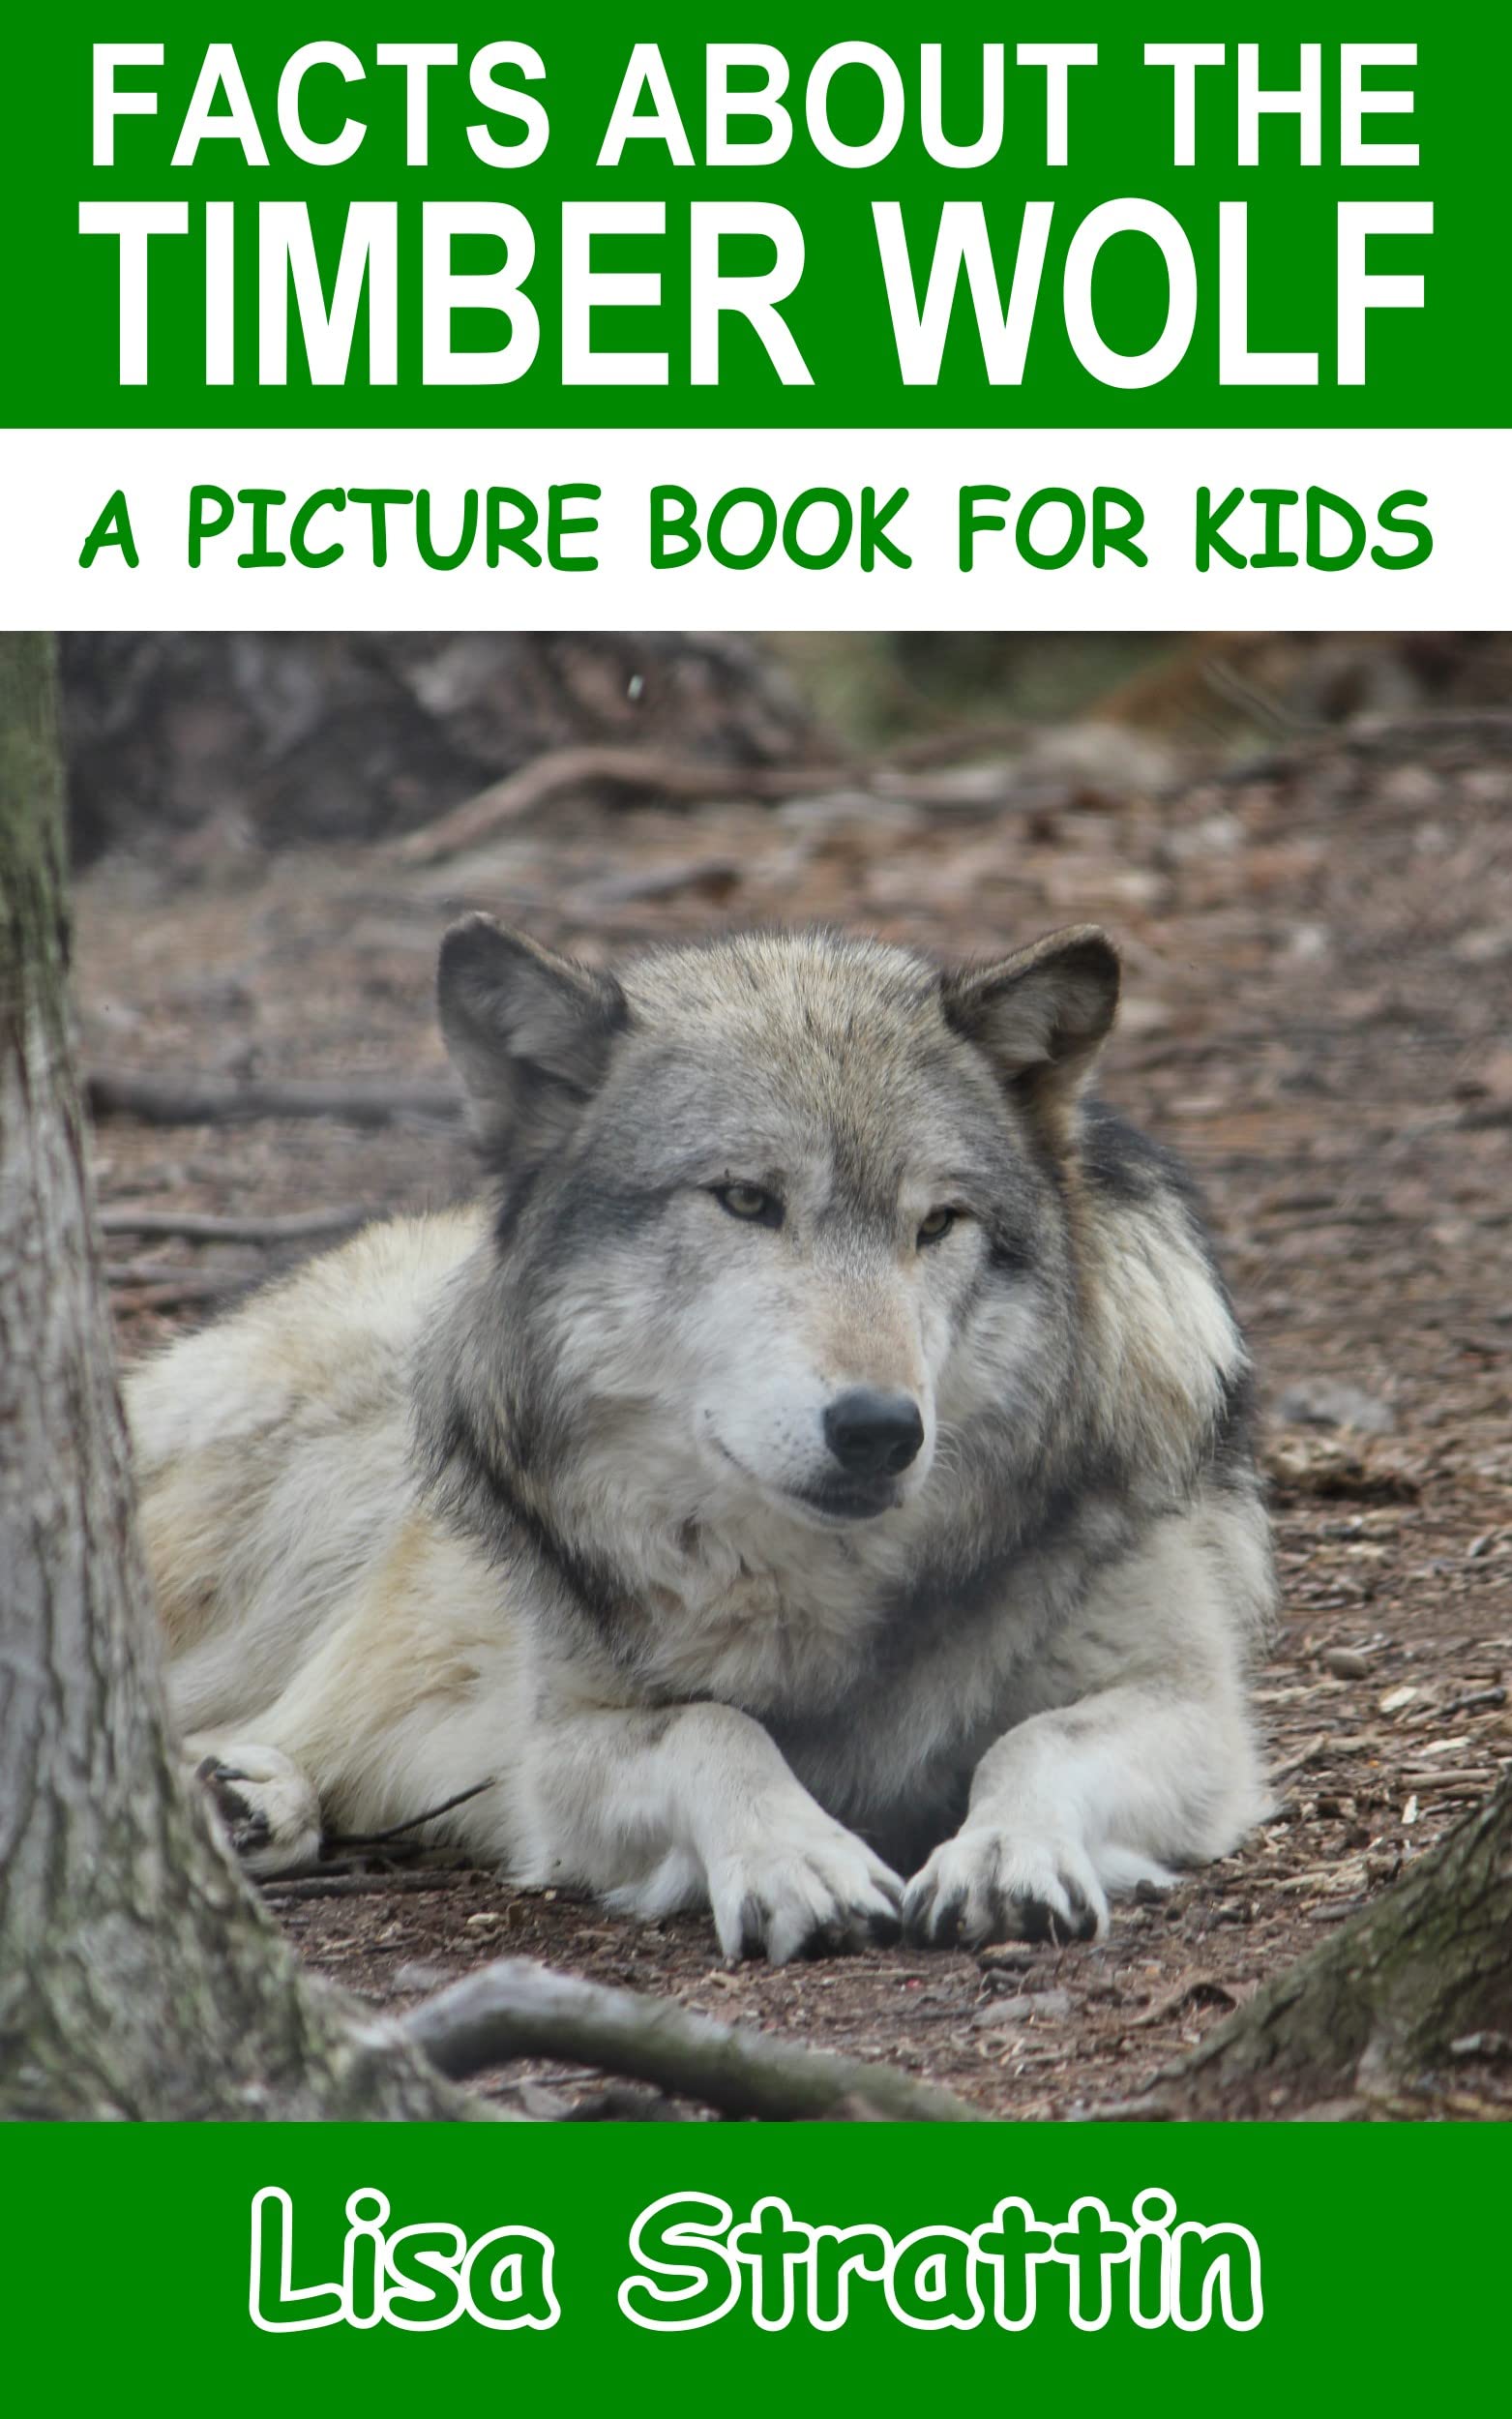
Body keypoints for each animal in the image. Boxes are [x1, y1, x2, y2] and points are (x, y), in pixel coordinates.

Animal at [126, 917, 1275, 1963]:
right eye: (747, 1200)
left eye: (939, 1222)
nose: (880, 1430)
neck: (835, 1594)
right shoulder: (566, 1746)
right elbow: (714, 1727)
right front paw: (797, 1858)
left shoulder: (1190, 1702)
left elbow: (1035, 1738)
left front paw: (1004, 1852)